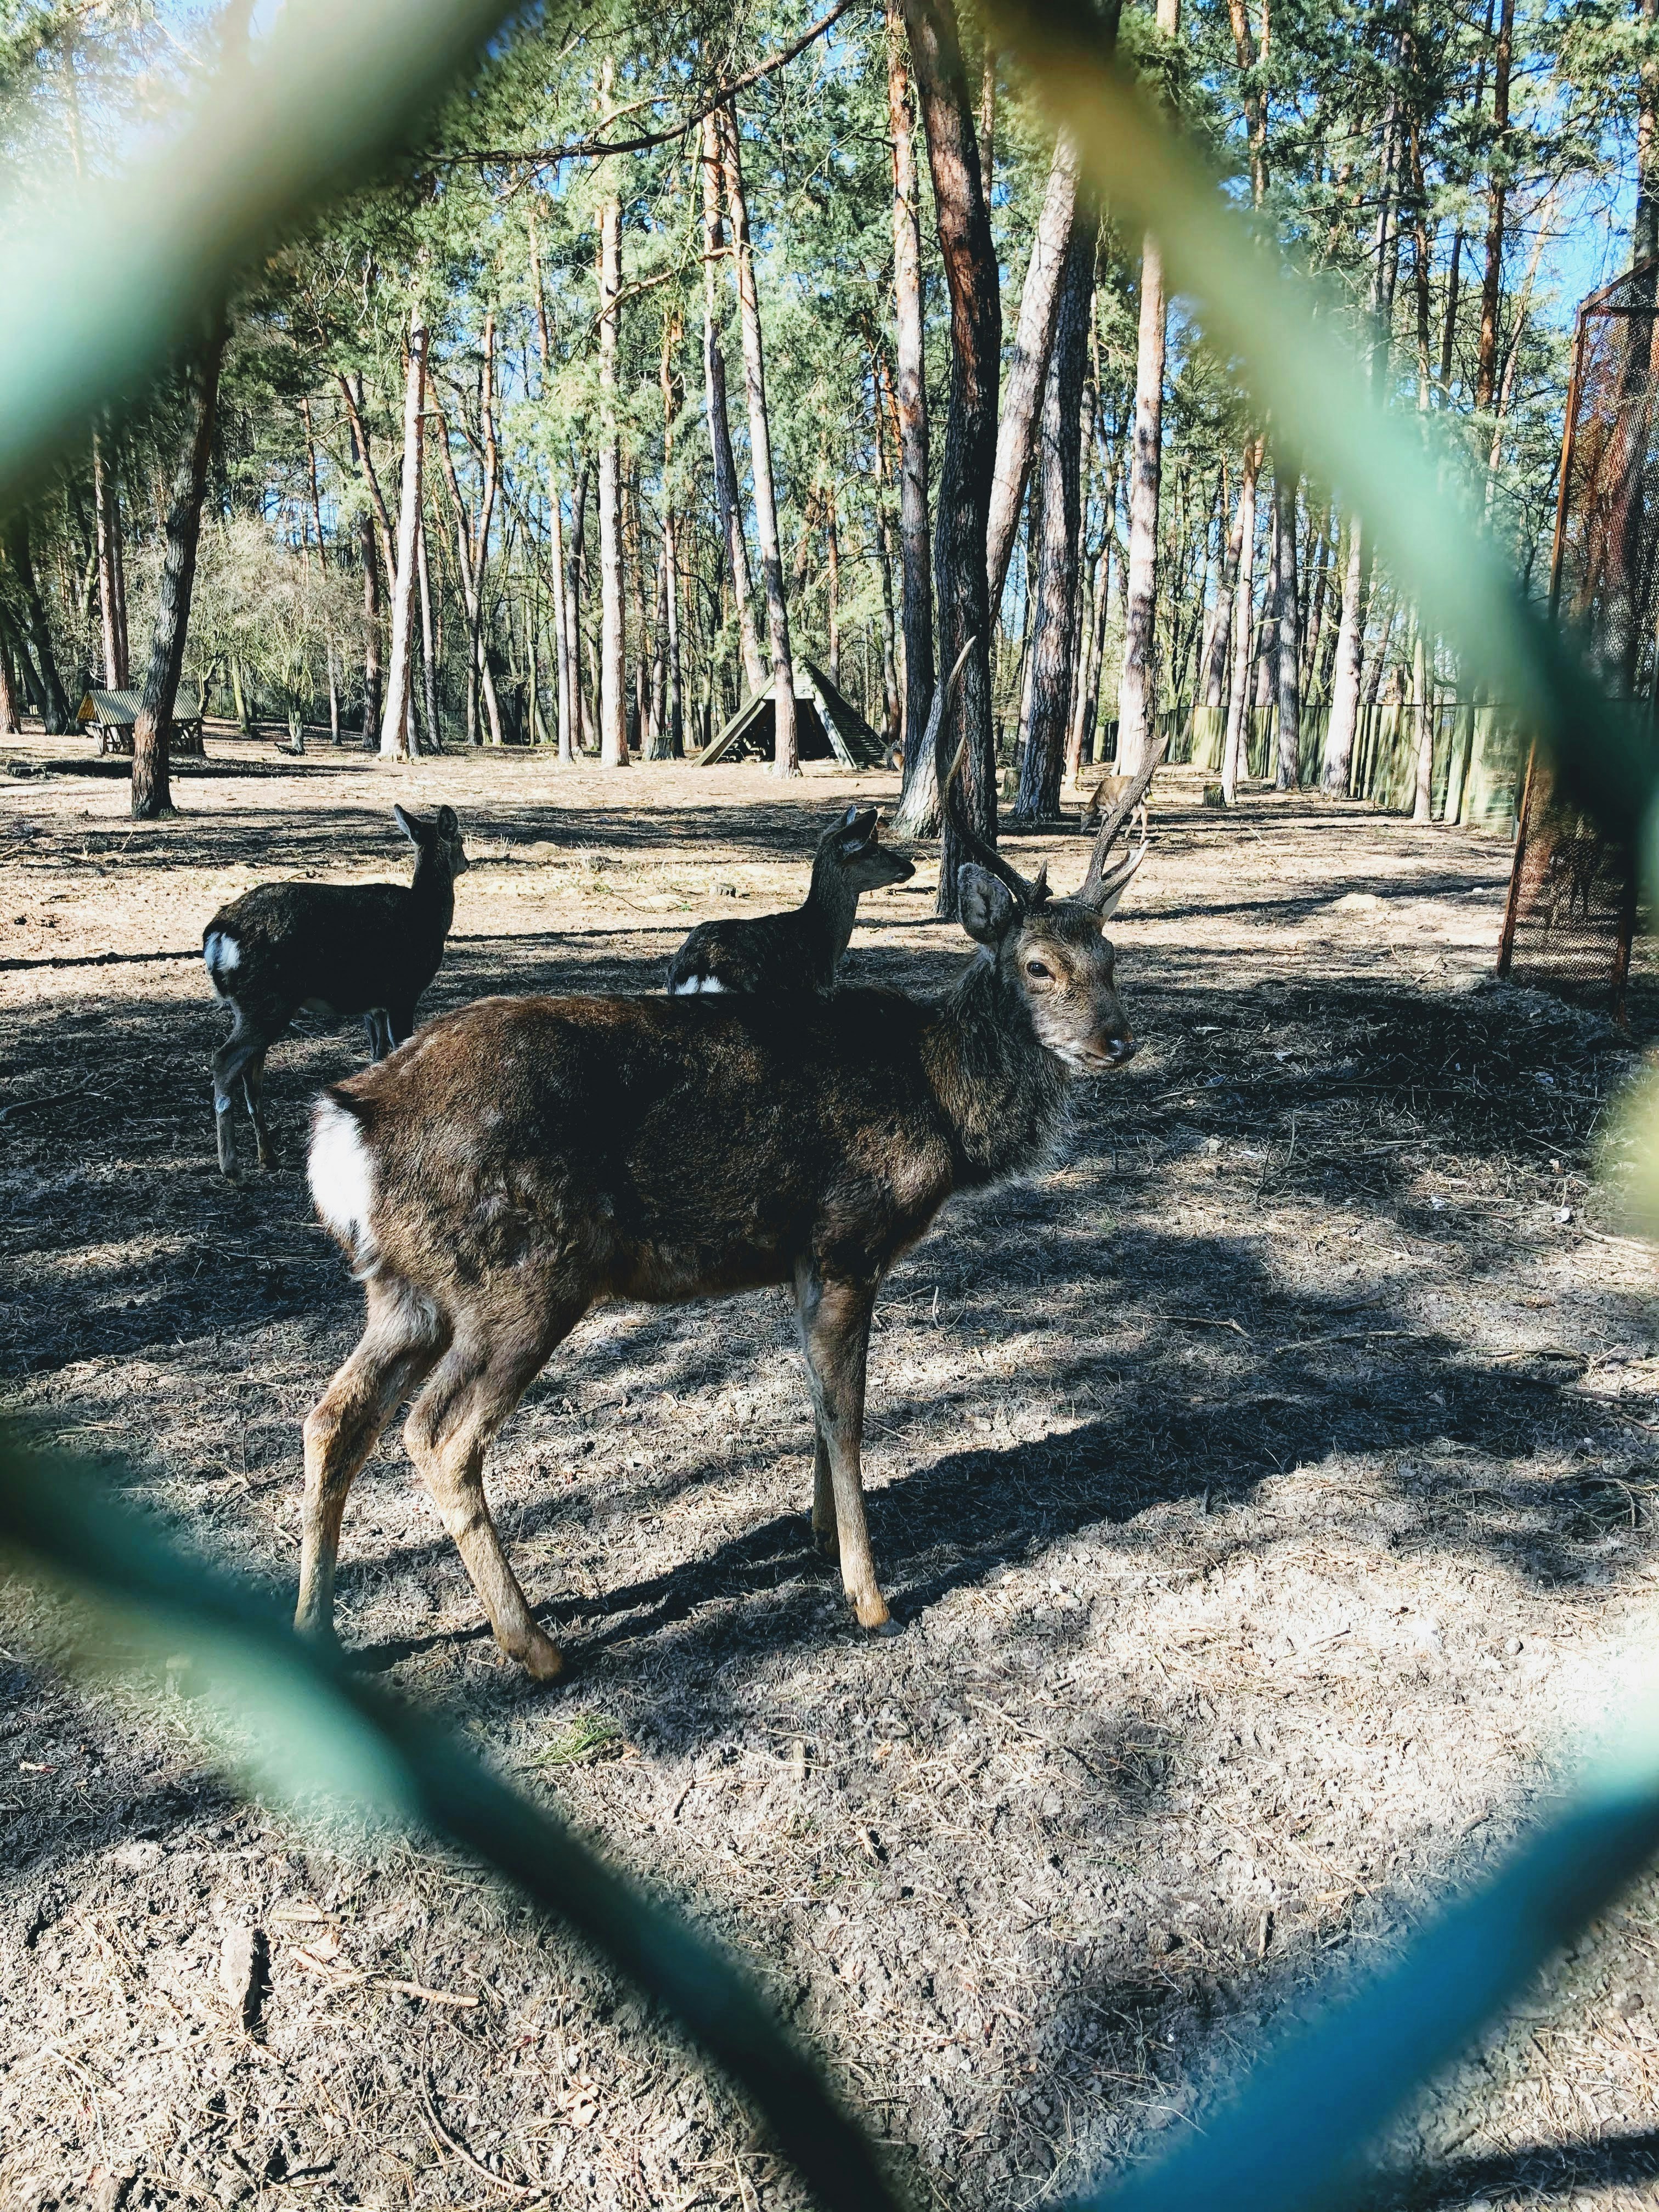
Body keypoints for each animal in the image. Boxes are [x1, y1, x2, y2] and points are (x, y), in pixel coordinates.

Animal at [202, 803, 468, 1185]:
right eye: (461, 839)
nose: (467, 863)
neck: (427, 917)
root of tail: (218, 934)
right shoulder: (403, 993)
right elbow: (400, 1052)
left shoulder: (374, 1006)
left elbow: (379, 1057)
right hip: (268, 1000)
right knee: (224, 1061)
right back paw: (233, 1171)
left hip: (255, 1004)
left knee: (252, 1074)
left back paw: (269, 1158)